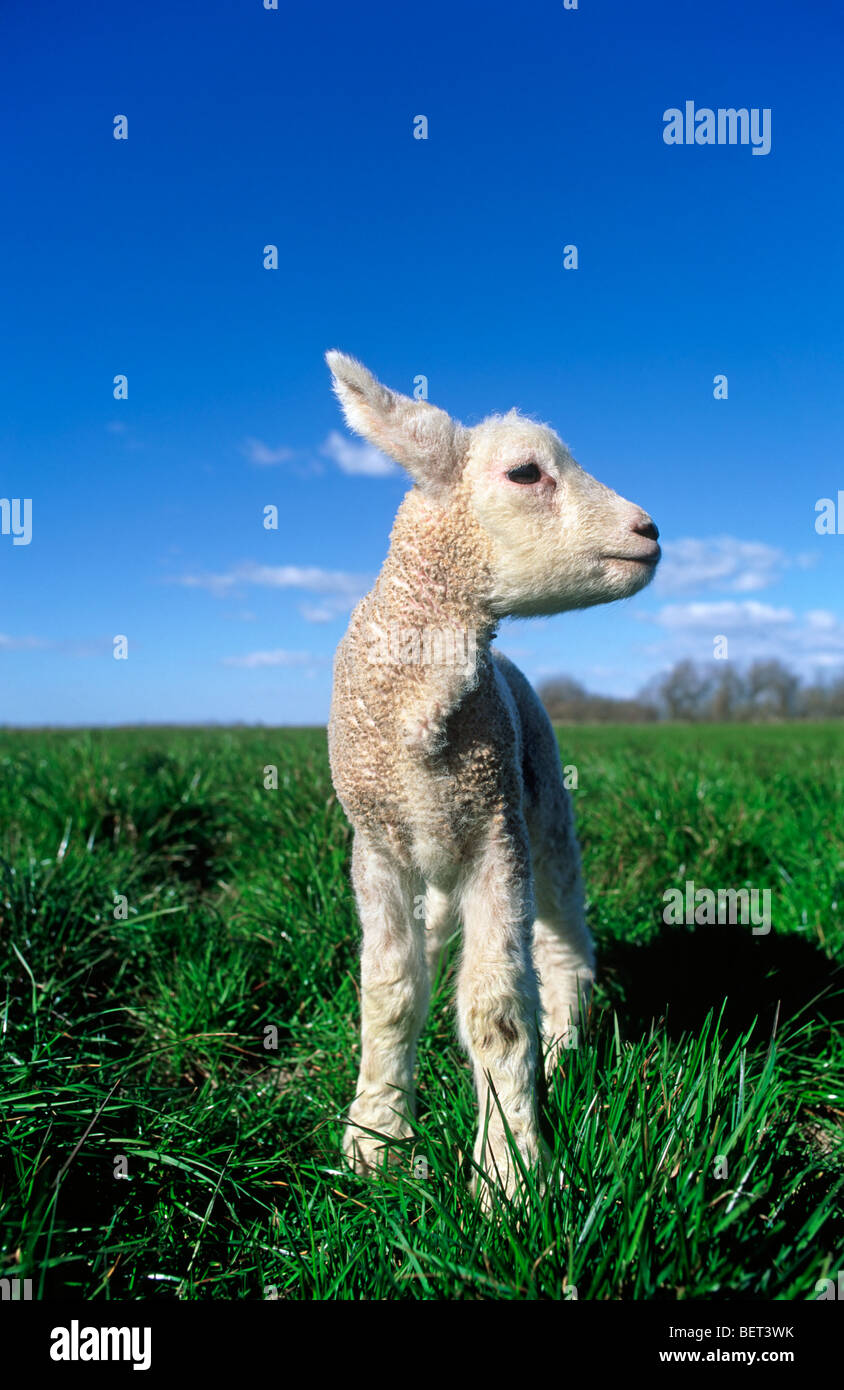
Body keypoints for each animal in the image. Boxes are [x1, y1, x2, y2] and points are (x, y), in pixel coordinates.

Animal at [325, 351, 660, 1204]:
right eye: (526, 473)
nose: (649, 531)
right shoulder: (375, 847)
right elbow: (390, 992)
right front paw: (375, 1137)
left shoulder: (496, 836)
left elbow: (497, 1009)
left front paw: (510, 1172)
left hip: (545, 812)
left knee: (565, 942)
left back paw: (563, 1046)